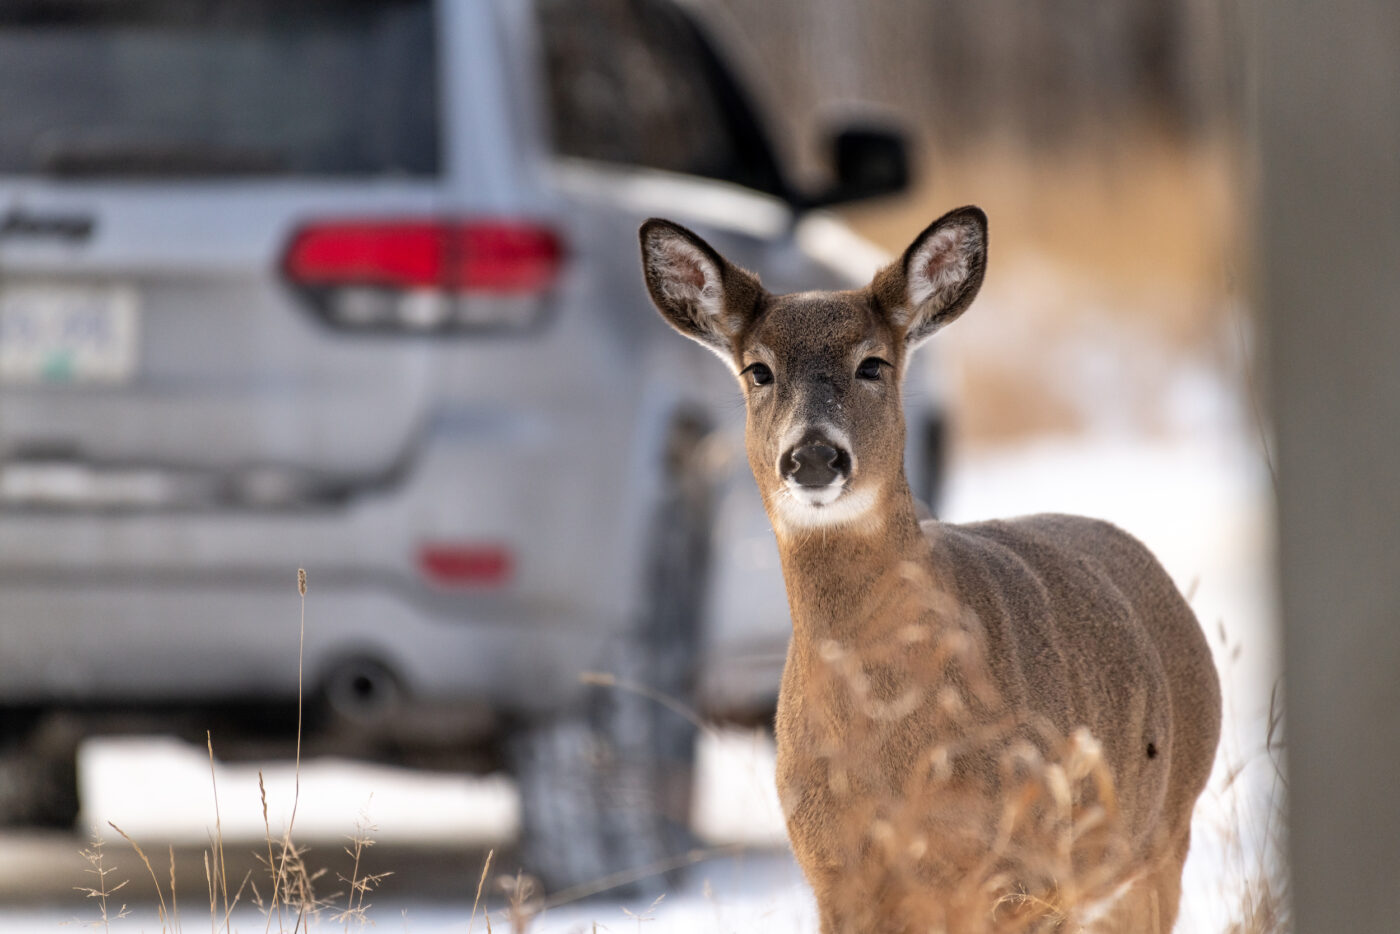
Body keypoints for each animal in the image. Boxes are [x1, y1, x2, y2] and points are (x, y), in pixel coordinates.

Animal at [639, 206, 1221, 933]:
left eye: (872, 363)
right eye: (758, 370)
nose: (813, 456)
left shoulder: (1022, 875)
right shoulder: (835, 875)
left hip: (1159, 845)